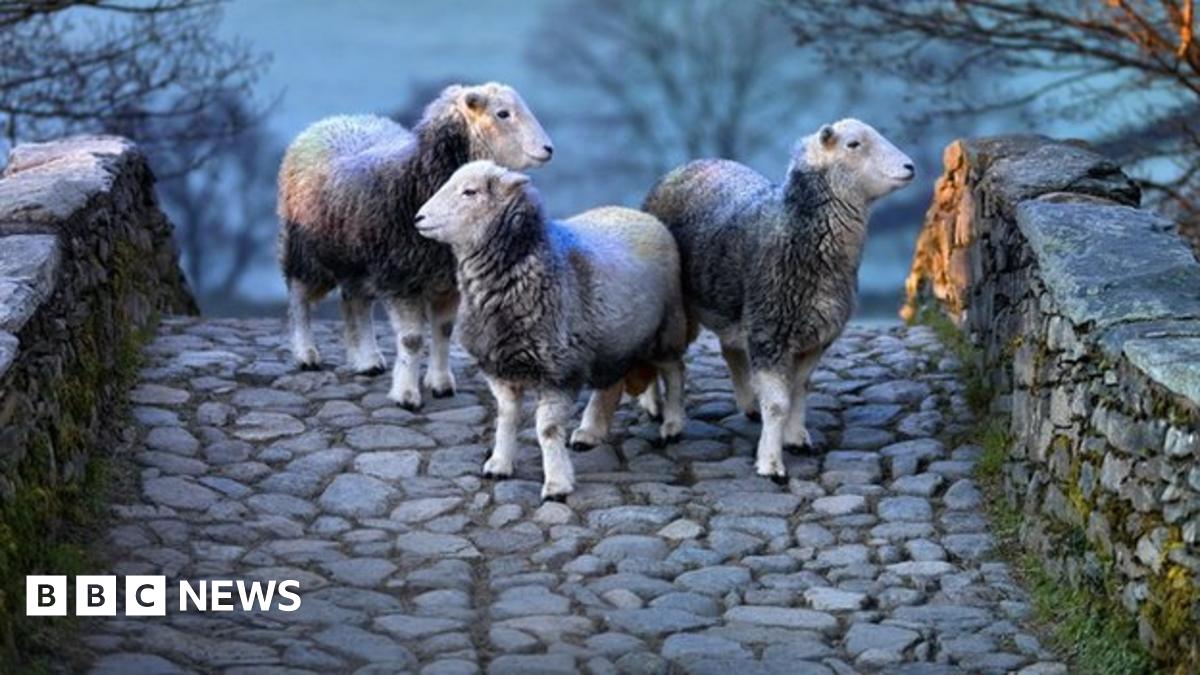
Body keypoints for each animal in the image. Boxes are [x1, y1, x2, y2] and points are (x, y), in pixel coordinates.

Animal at [277, 83, 553, 410]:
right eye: (502, 113)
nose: (548, 149)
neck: (416, 180)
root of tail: (334, 119)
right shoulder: (402, 277)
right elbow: (411, 339)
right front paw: (407, 395)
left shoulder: (446, 281)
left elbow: (444, 332)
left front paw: (441, 383)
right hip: (306, 250)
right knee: (299, 298)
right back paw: (306, 353)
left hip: (359, 259)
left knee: (354, 301)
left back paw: (366, 359)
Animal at [414, 160, 688, 500]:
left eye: (470, 192)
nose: (418, 218)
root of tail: (638, 212)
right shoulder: (500, 367)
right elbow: (507, 417)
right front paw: (499, 464)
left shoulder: (559, 370)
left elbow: (547, 429)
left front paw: (557, 483)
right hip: (611, 340)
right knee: (611, 385)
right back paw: (590, 432)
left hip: (666, 327)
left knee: (675, 369)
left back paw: (673, 424)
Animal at [644, 118, 915, 483]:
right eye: (853, 144)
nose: (910, 167)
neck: (791, 228)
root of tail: (686, 165)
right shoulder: (770, 332)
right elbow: (777, 403)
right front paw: (771, 462)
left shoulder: (814, 336)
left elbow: (798, 389)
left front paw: (796, 437)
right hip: (675, 305)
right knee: (669, 363)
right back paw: (665, 416)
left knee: (728, 350)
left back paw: (746, 404)